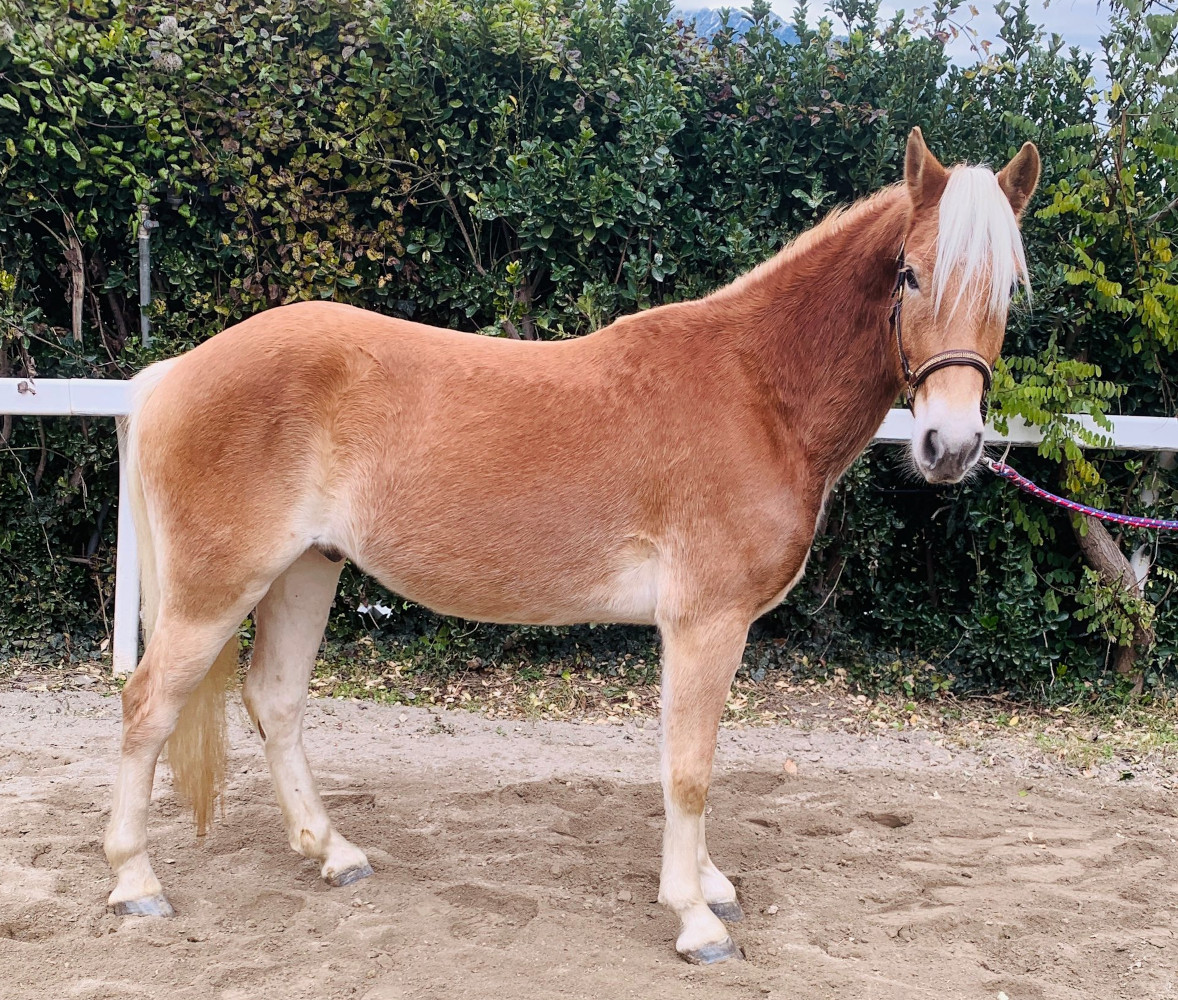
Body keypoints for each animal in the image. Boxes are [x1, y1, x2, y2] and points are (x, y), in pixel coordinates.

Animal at [104, 128, 1039, 964]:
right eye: (911, 271)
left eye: (1007, 289)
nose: (951, 446)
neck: (757, 391)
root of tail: (174, 374)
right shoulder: (705, 623)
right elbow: (690, 768)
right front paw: (694, 920)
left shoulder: (705, 630)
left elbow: (690, 755)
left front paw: (711, 885)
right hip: (214, 592)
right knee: (146, 707)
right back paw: (135, 883)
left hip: (306, 571)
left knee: (277, 700)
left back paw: (333, 854)